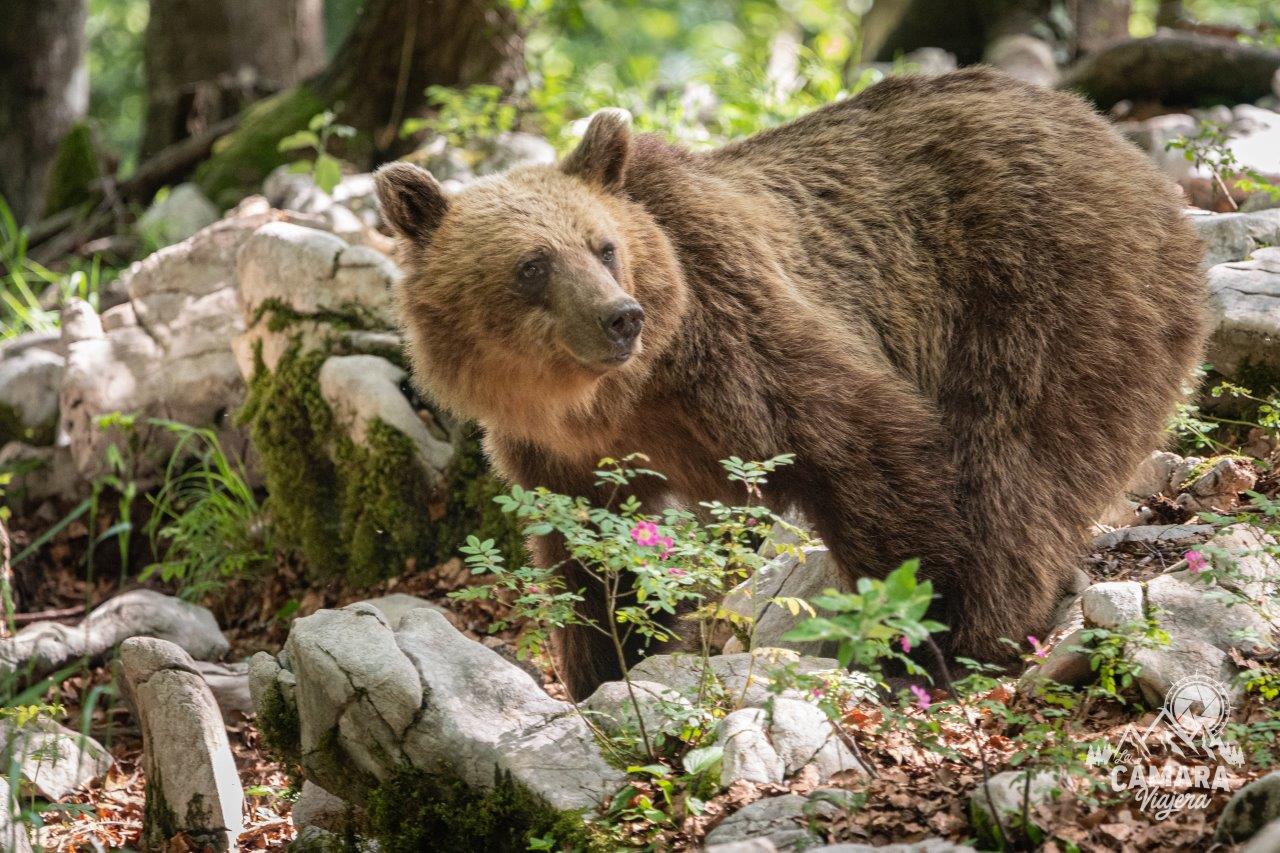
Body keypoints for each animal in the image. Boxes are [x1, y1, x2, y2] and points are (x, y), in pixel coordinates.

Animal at [375, 67, 1208, 701]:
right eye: (532, 264)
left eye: (602, 245)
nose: (620, 317)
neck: (613, 400)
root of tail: (1123, 149)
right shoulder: (561, 459)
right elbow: (590, 562)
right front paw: (605, 666)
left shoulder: (737, 341)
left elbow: (869, 444)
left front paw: (919, 625)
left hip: (1045, 287)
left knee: (1016, 462)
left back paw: (992, 624)